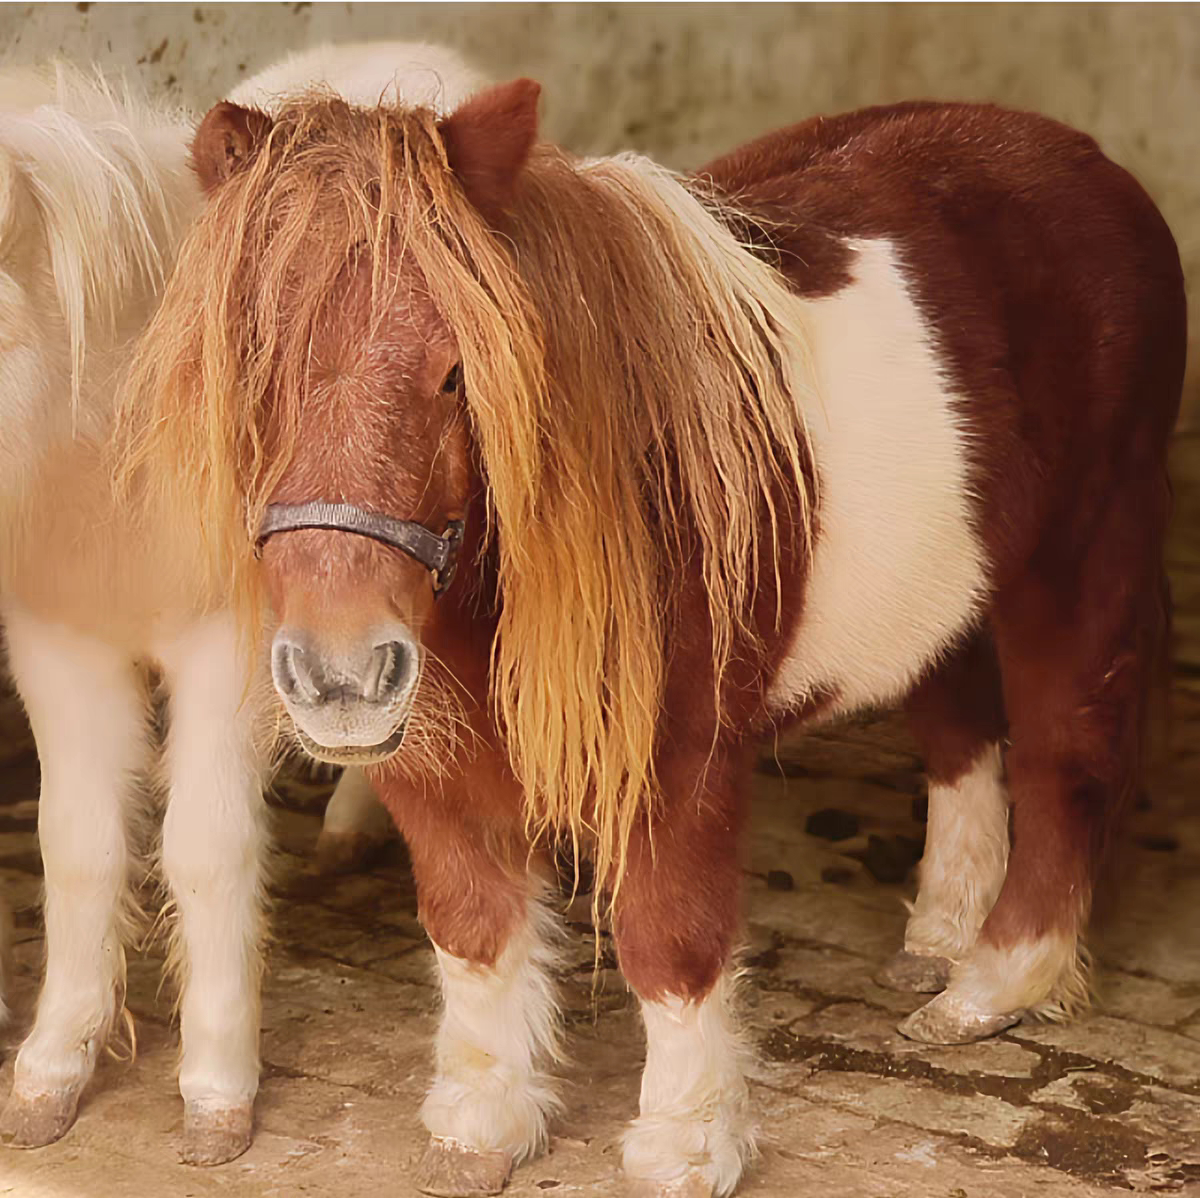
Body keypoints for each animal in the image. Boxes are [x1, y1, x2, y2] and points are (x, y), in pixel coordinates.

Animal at [0, 43, 481, 1166]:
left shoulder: (234, 647)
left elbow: (207, 851)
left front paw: (216, 1090)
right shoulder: (59, 644)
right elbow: (77, 846)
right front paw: (52, 1068)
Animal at [118, 79, 1185, 1198]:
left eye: (459, 373)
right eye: (246, 372)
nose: (339, 675)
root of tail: (1085, 159)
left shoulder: (680, 761)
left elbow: (670, 942)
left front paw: (684, 1143)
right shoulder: (428, 768)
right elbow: (472, 928)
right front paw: (481, 1124)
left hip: (1083, 557)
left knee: (1066, 762)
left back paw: (993, 983)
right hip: (945, 584)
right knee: (958, 734)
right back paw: (941, 932)